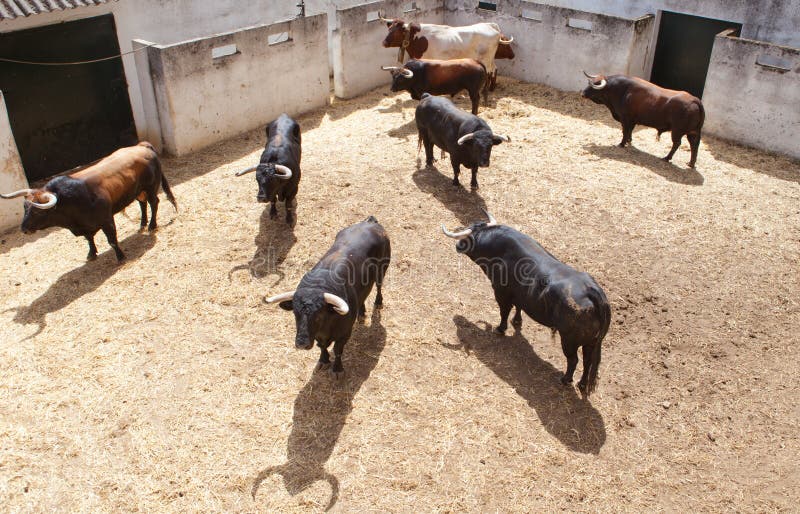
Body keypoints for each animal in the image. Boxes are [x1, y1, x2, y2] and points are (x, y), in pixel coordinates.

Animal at [0, 142, 176, 262]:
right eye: (24, 208)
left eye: (37, 211)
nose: (23, 229)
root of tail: (142, 146)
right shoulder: (84, 227)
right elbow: (89, 239)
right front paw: (91, 254)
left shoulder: (106, 220)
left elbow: (112, 241)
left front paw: (120, 257)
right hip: (138, 191)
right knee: (142, 204)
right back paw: (142, 225)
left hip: (151, 187)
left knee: (154, 203)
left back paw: (152, 225)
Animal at [265, 216, 390, 378]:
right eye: (295, 314)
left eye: (318, 315)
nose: (302, 343)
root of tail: (370, 222)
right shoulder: (319, 336)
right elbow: (322, 347)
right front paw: (323, 361)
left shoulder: (344, 334)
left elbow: (337, 350)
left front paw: (337, 369)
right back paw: (361, 313)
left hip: (382, 269)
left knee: (379, 287)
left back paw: (378, 303)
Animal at [379, 14, 513, 92]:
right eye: (389, 29)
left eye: (397, 32)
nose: (384, 42)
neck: (417, 39)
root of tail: (490, 25)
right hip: (490, 59)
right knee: (494, 69)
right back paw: (492, 88)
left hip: (486, 59)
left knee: (490, 71)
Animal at [441, 209, 611, 396]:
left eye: (469, 237)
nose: (458, 245)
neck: (499, 249)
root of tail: (591, 290)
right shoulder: (520, 295)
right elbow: (518, 307)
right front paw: (516, 321)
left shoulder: (501, 292)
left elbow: (504, 311)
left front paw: (500, 329)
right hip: (591, 343)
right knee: (588, 362)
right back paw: (581, 384)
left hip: (569, 340)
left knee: (574, 360)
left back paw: (565, 380)